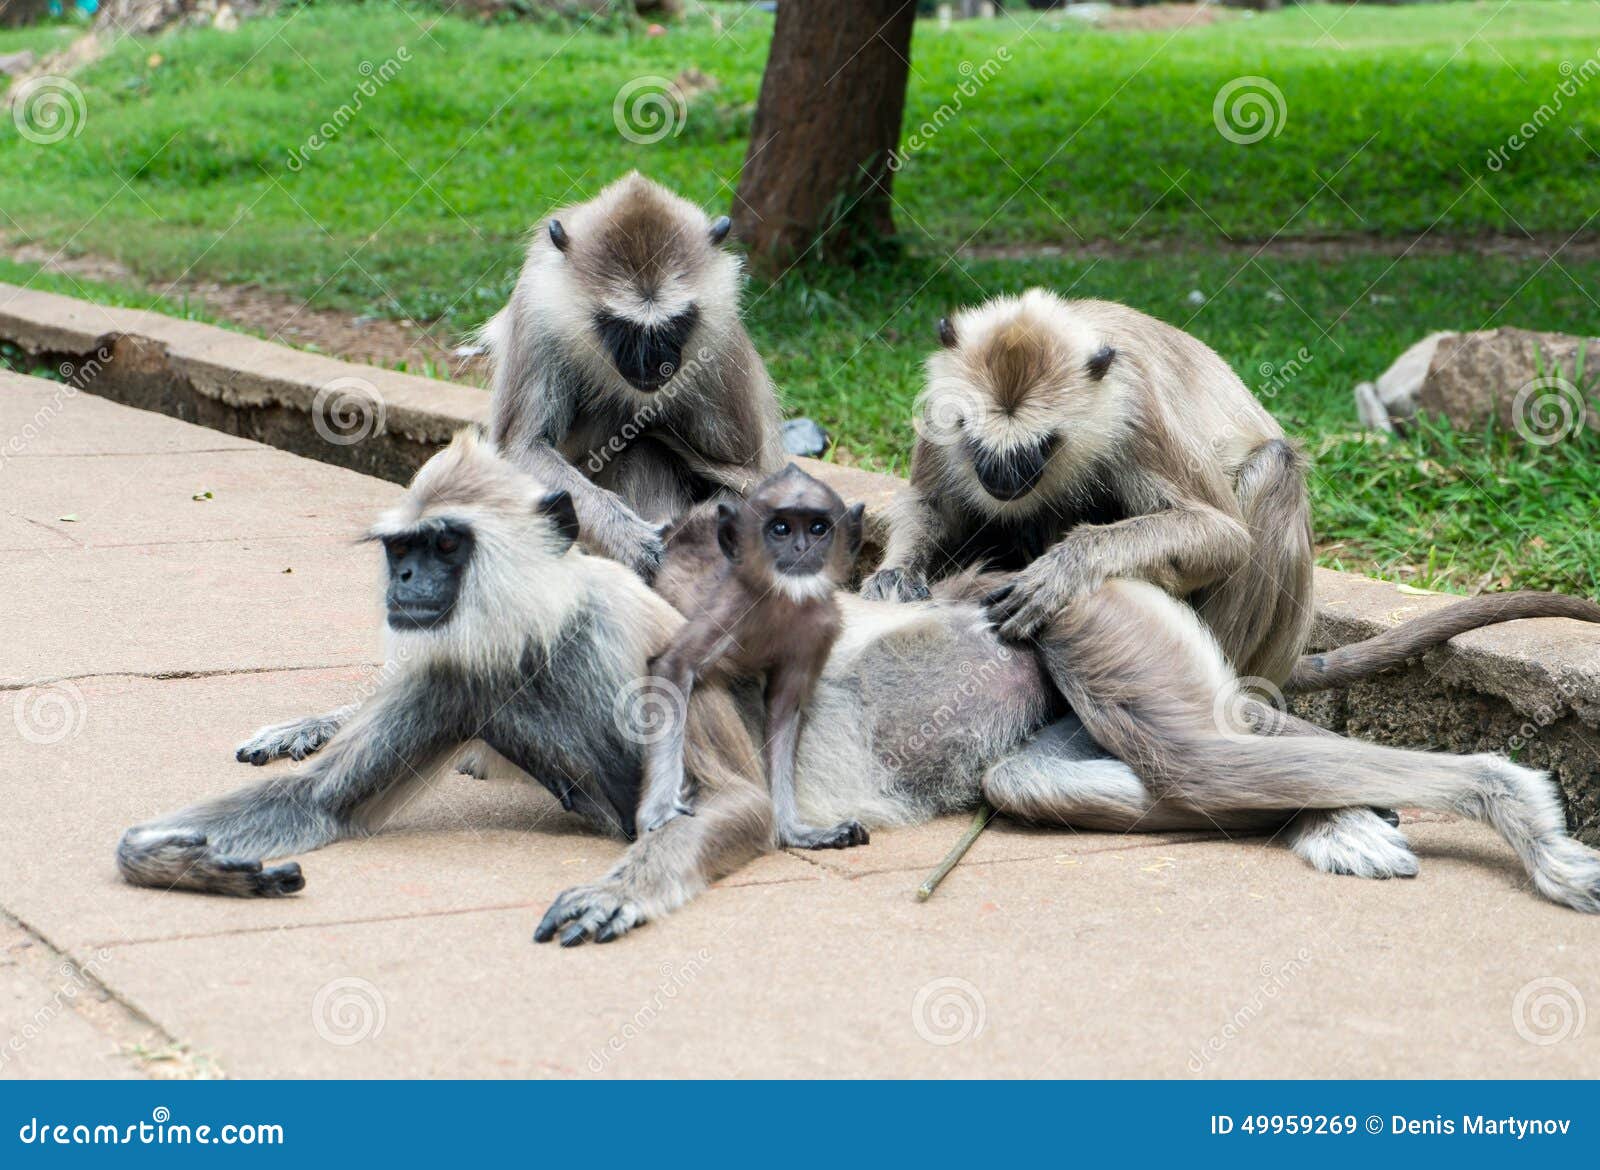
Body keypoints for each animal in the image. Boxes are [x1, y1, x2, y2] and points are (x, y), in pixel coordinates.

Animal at [637, 464, 869, 849]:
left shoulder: (820, 630)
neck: (785, 602)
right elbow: (672, 668)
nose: (801, 547)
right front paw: (660, 808)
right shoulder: (732, 605)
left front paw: (794, 830)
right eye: (781, 528)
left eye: (818, 528)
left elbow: (783, 709)